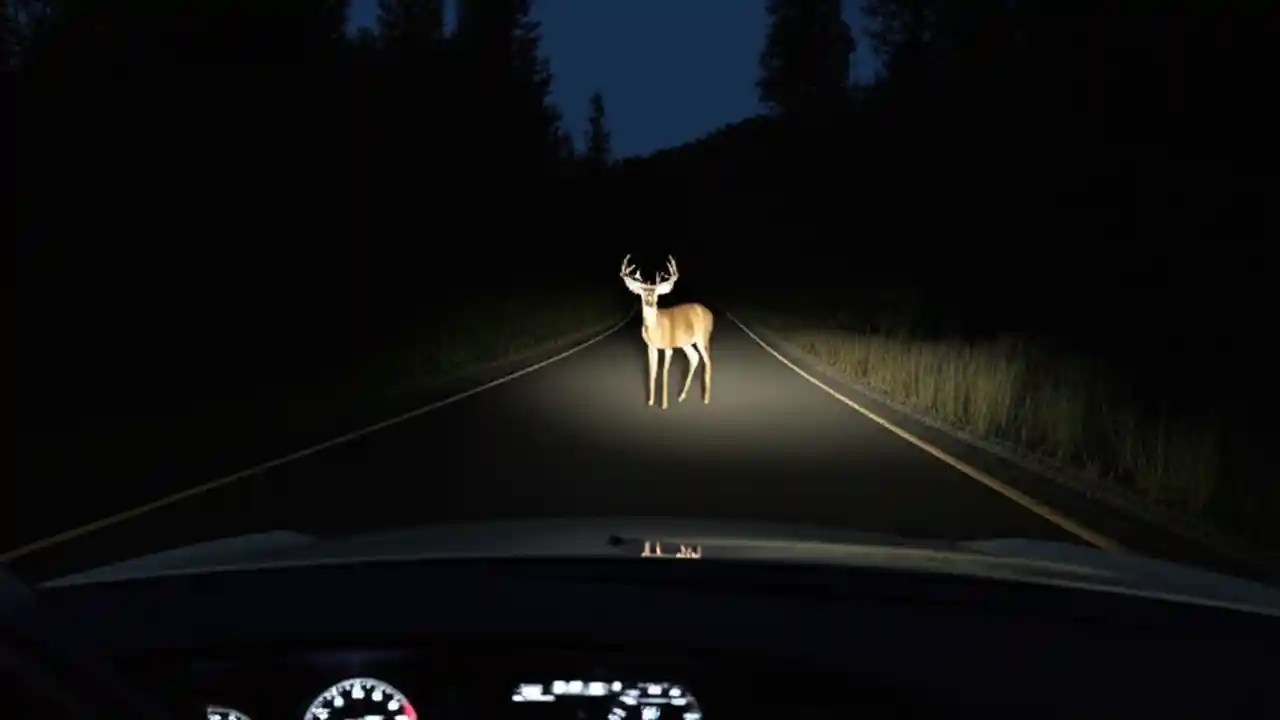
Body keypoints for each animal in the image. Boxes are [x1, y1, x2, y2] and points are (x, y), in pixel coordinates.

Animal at [620, 255, 714, 409]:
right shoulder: (651, 347)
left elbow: (664, 372)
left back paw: (706, 399)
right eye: (643, 293)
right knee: (694, 358)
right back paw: (681, 396)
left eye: (656, 293)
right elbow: (652, 371)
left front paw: (663, 405)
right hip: (686, 343)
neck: (655, 329)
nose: (650, 302)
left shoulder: (668, 347)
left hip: (703, 337)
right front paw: (650, 402)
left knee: (708, 361)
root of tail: (710, 314)